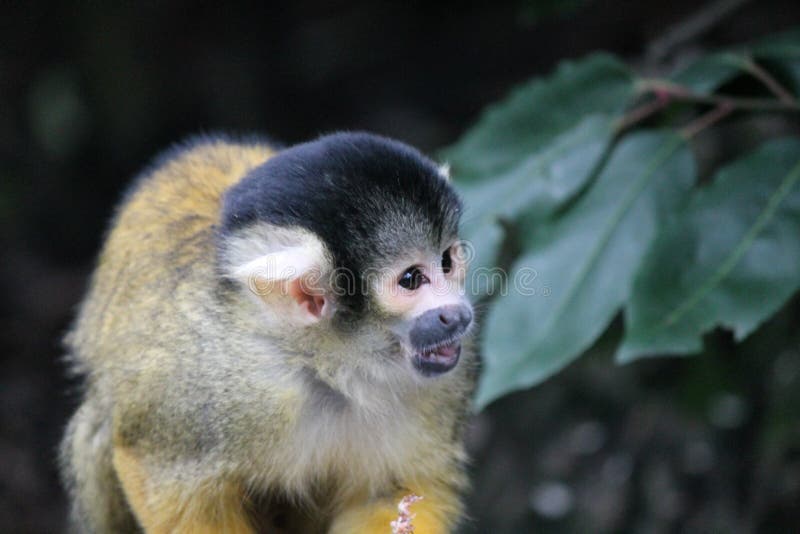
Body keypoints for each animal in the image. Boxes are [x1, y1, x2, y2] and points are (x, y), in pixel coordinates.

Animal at [59, 131, 476, 533]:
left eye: (447, 261)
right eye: (411, 279)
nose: (457, 316)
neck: (327, 368)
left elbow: (391, 494)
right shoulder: (200, 388)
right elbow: (158, 472)